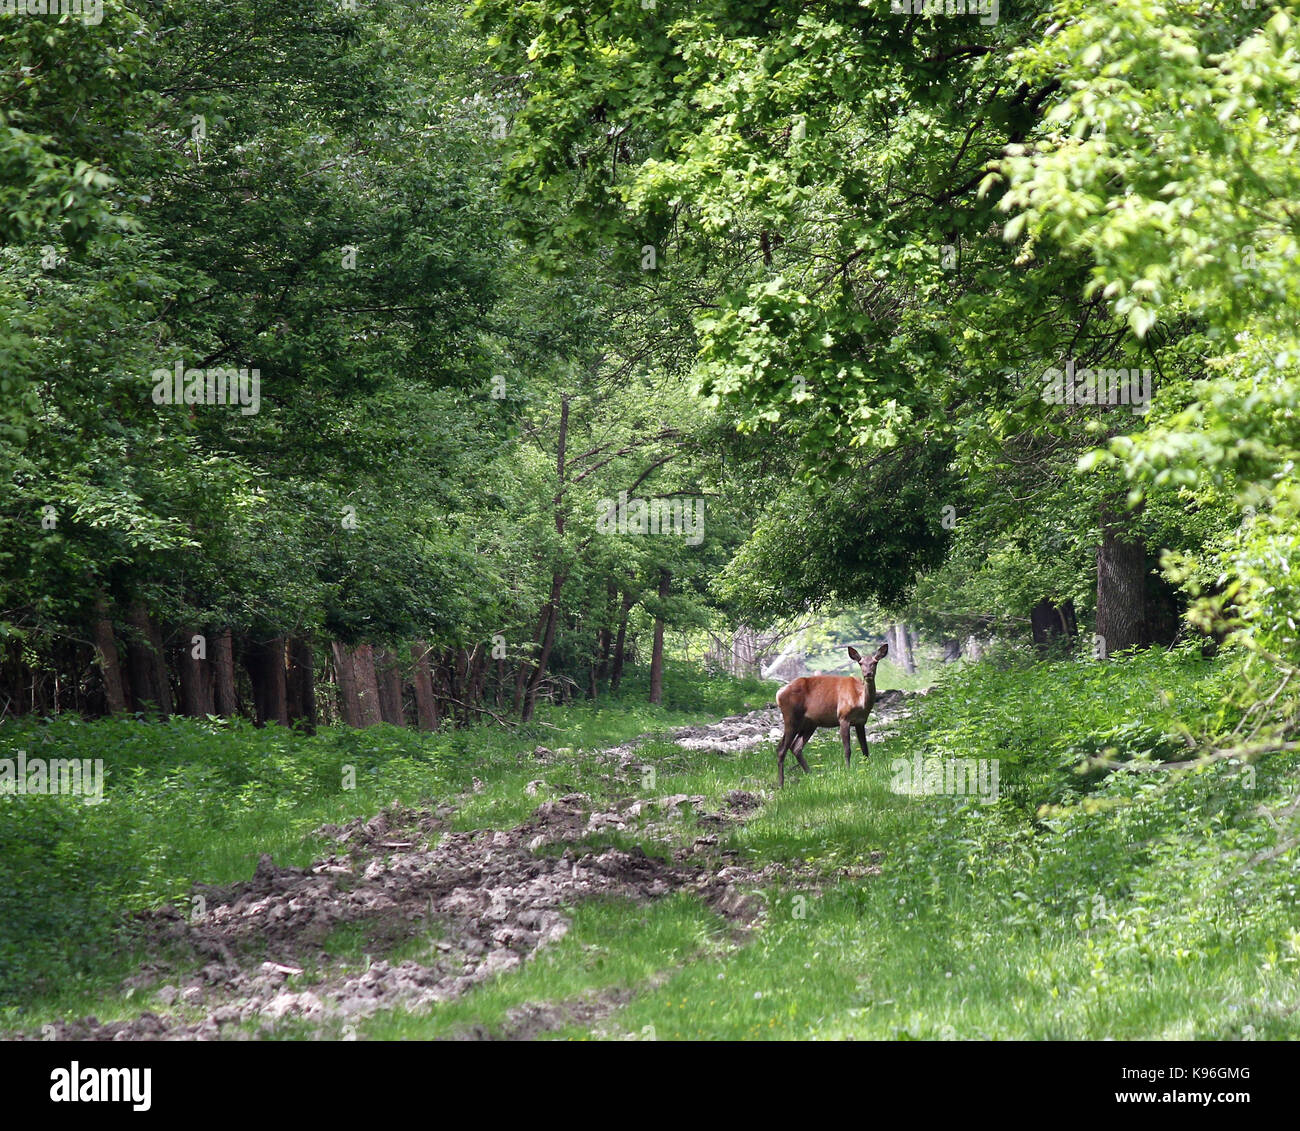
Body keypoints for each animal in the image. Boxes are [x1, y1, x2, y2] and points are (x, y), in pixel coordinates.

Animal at [774, 641, 889, 787]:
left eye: (875, 662)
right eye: (861, 663)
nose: (868, 673)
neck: (860, 700)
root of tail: (778, 694)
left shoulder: (861, 722)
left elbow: (865, 748)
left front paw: (868, 769)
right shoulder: (843, 717)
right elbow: (847, 749)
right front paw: (848, 771)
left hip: (809, 724)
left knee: (795, 747)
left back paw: (812, 775)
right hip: (791, 718)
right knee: (782, 749)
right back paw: (781, 785)